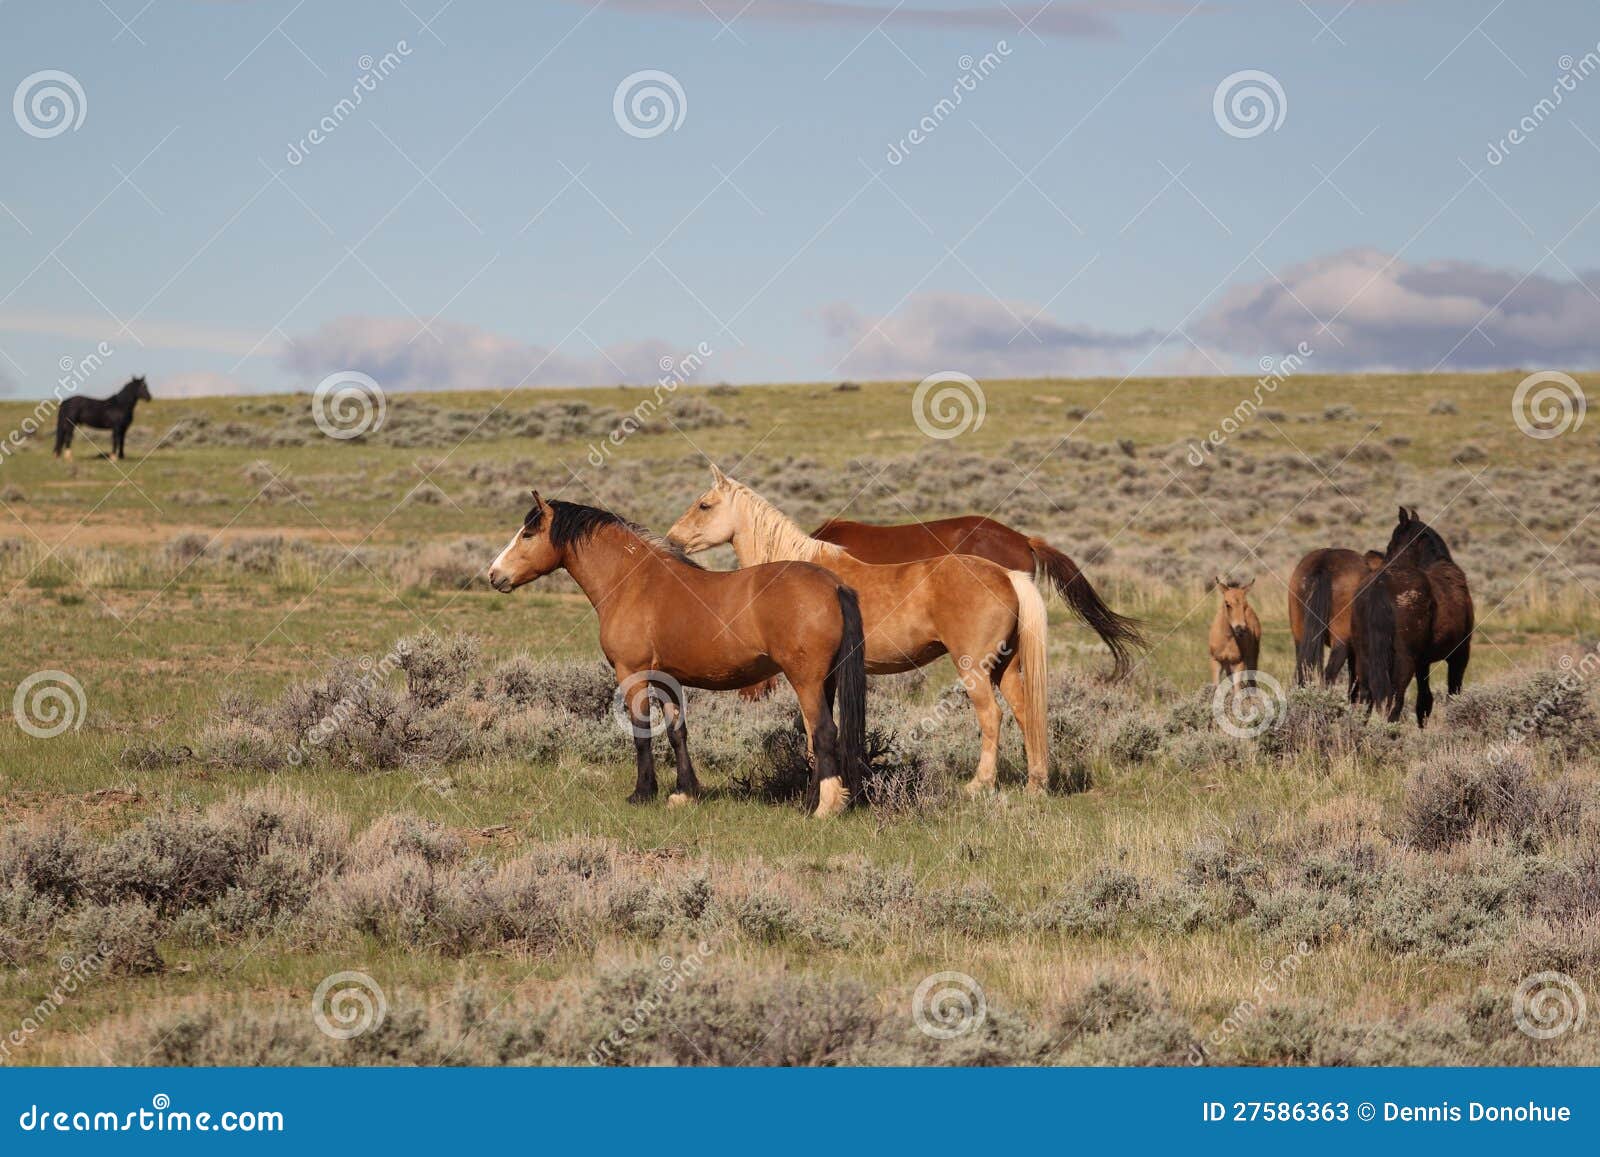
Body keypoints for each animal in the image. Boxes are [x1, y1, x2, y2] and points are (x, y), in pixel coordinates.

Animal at [487, 492, 869, 817]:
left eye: (528, 534)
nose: (494, 575)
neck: (635, 583)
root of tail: (834, 584)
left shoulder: (632, 673)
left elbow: (641, 732)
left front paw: (642, 793)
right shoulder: (666, 678)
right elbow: (676, 732)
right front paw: (684, 792)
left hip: (806, 680)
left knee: (823, 732)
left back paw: (825, 807)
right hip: (825, 681)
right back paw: (811, 800)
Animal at [667, 467, 1051, 796]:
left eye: (704, 505)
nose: (672, 541)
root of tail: (1006, 575)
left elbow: (813, 728)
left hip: (974, 669)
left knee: (992, 716)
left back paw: (979, 784)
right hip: (1005, 668)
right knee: (1025, 713)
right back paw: (1035, 783)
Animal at [1352, 507, 1474, 727]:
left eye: (1390, 544)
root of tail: (1380, 584)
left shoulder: (1422, 662)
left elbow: (1424, 702)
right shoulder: (1459, 654)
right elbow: (1453, 695)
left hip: (1364, 658)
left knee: (1365, 700)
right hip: (1403, 662)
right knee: (1394, 702)